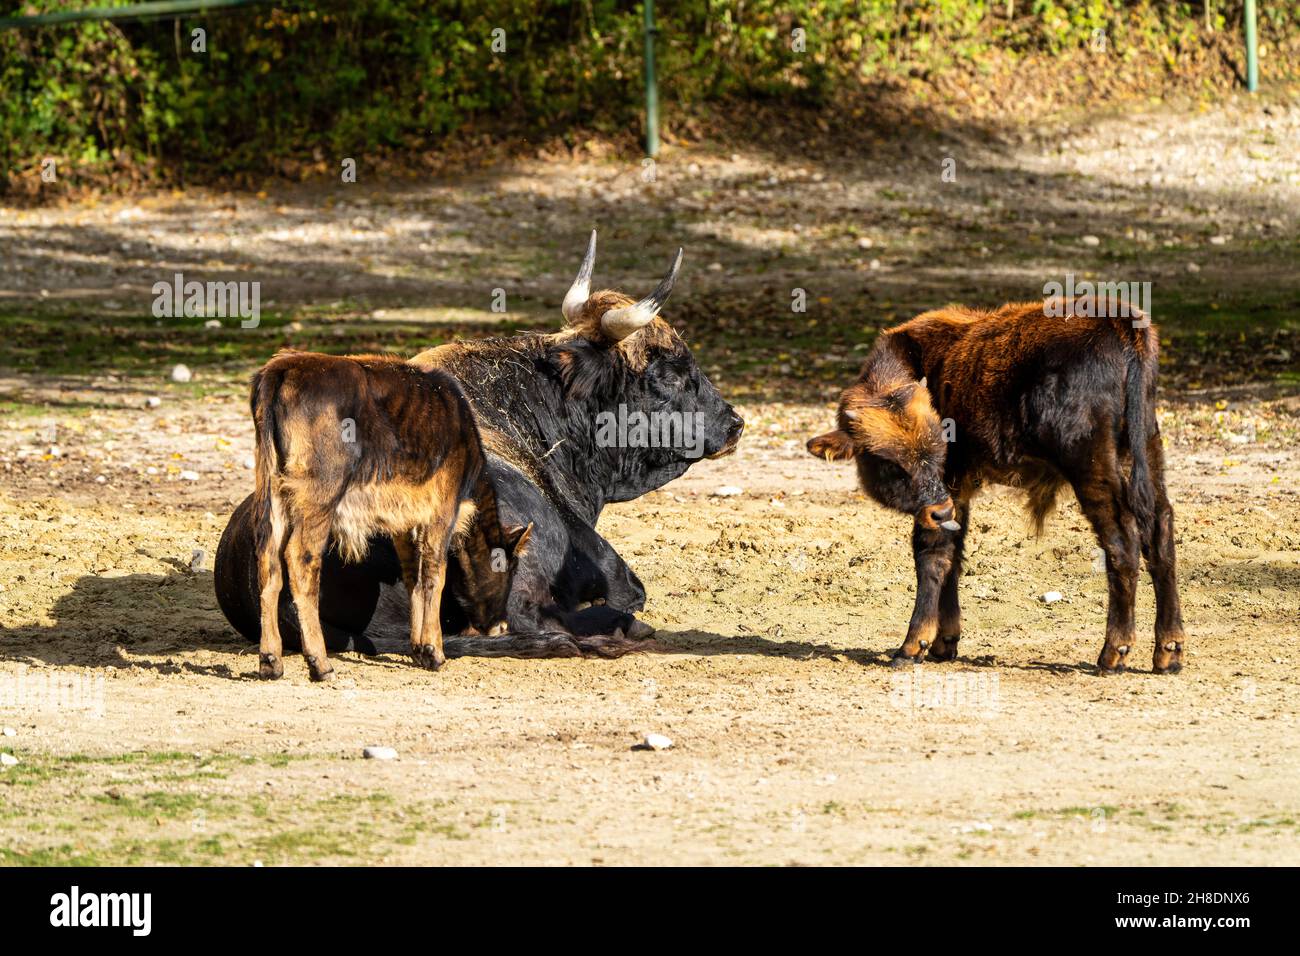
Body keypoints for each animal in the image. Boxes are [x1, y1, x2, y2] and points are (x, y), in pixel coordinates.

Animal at [249, 350, 531, 681]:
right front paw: (434, 652)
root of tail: (282, 367)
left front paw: (419, 649)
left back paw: (270, 660)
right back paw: (320, 663)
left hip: (274, 491)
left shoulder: (403, 524)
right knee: (300, 558)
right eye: (509, 568)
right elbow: (434, 574)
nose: (501, 624)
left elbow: (413, 577)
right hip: (319, 493)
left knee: (268, 561)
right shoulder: (442, 511)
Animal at [808, 298, 1185, 674]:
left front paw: (913, 646)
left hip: (1092, 471)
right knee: (1160, 536)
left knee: (1122, 545)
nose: (938, 510)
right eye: (889, 462)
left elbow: (932, 555)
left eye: (939, 447)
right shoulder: (957, 494)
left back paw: (1113, 652)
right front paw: (945, 642)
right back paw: (1168, 651)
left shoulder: (949, 491)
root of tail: (1117, 319)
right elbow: (954, 555)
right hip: (1145, 454)